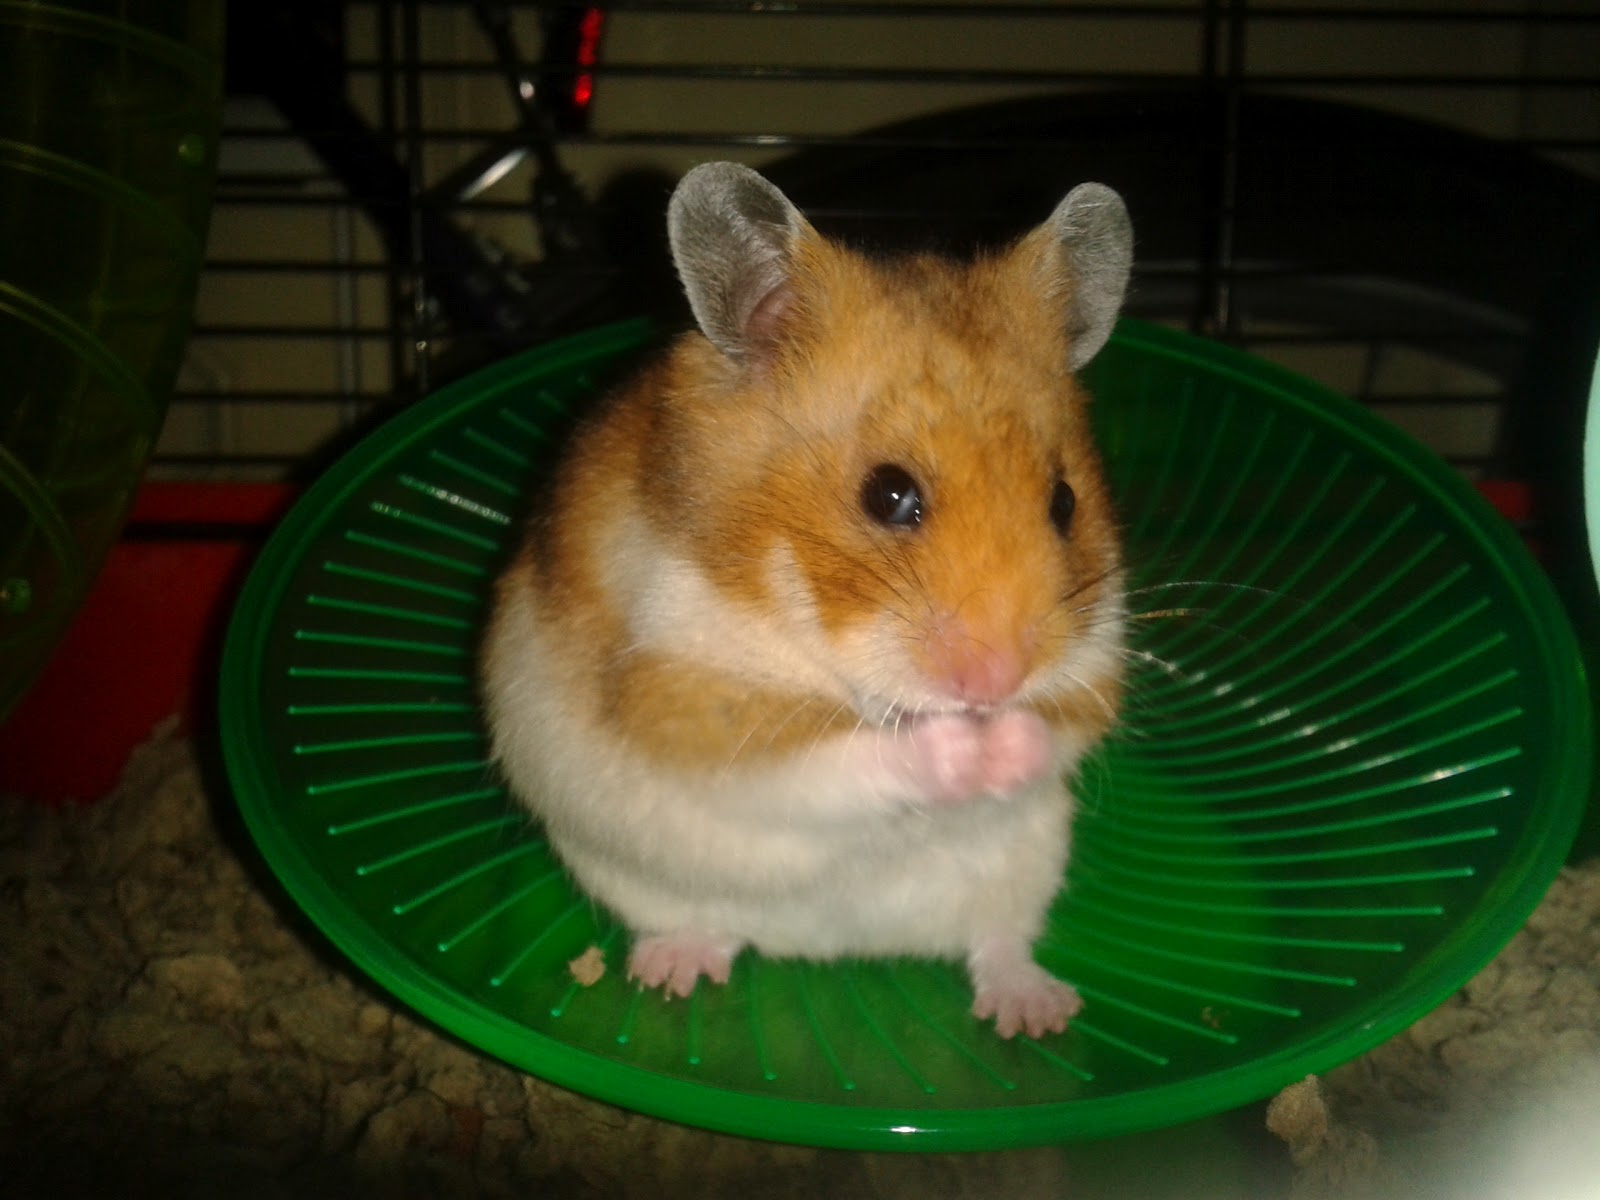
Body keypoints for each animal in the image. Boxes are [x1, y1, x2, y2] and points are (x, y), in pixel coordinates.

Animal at [480, 162, 1131, 1039]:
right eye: (888, 495)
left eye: (1063, 504)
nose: (995, 685)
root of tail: (829, 949)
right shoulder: (694, 695)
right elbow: (839, 760)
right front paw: (964, 748)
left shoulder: (1093, 666)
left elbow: (1058, 732)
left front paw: (1010, 739)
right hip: (630, 874)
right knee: (709, 925)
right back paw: (670, 971)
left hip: (1027, 868)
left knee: (995, 943)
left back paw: (1036, 1013)